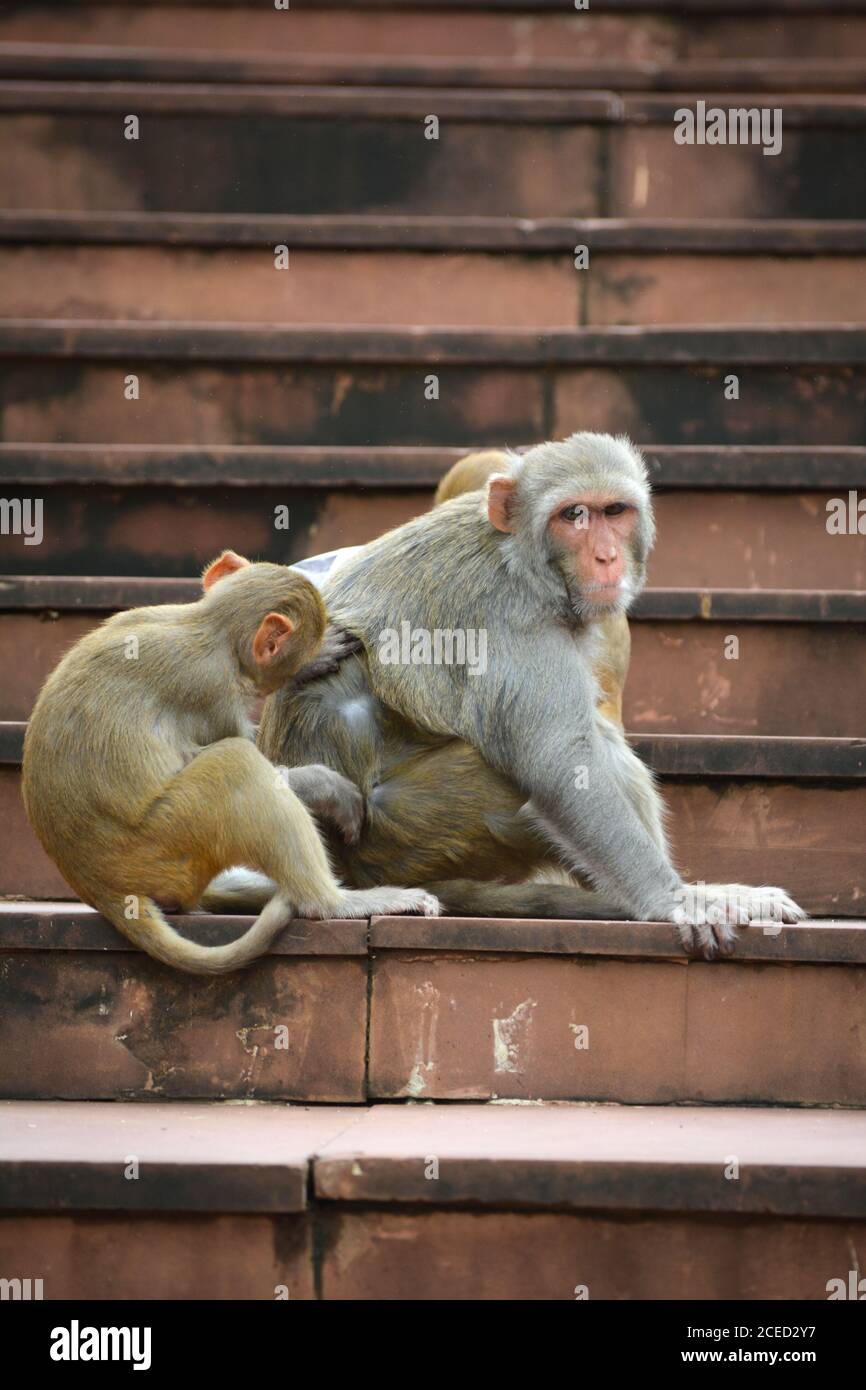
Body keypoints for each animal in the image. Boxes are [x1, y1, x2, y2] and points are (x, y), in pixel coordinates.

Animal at [22, 549, 439, 975]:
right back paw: (331, 902)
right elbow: (253, 753)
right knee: (235, 765)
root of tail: (101, 889)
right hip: (167, 843)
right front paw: (326, 785)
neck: (209, 628)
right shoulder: (213, 691)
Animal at [206, 435, 804, 959]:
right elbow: (562, 766)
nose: (607, 557)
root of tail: (353, 869)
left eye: (614, 511)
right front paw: (672, 901)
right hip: (417, 822)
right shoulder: (512, 621)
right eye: (573, 516)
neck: (522, 556)